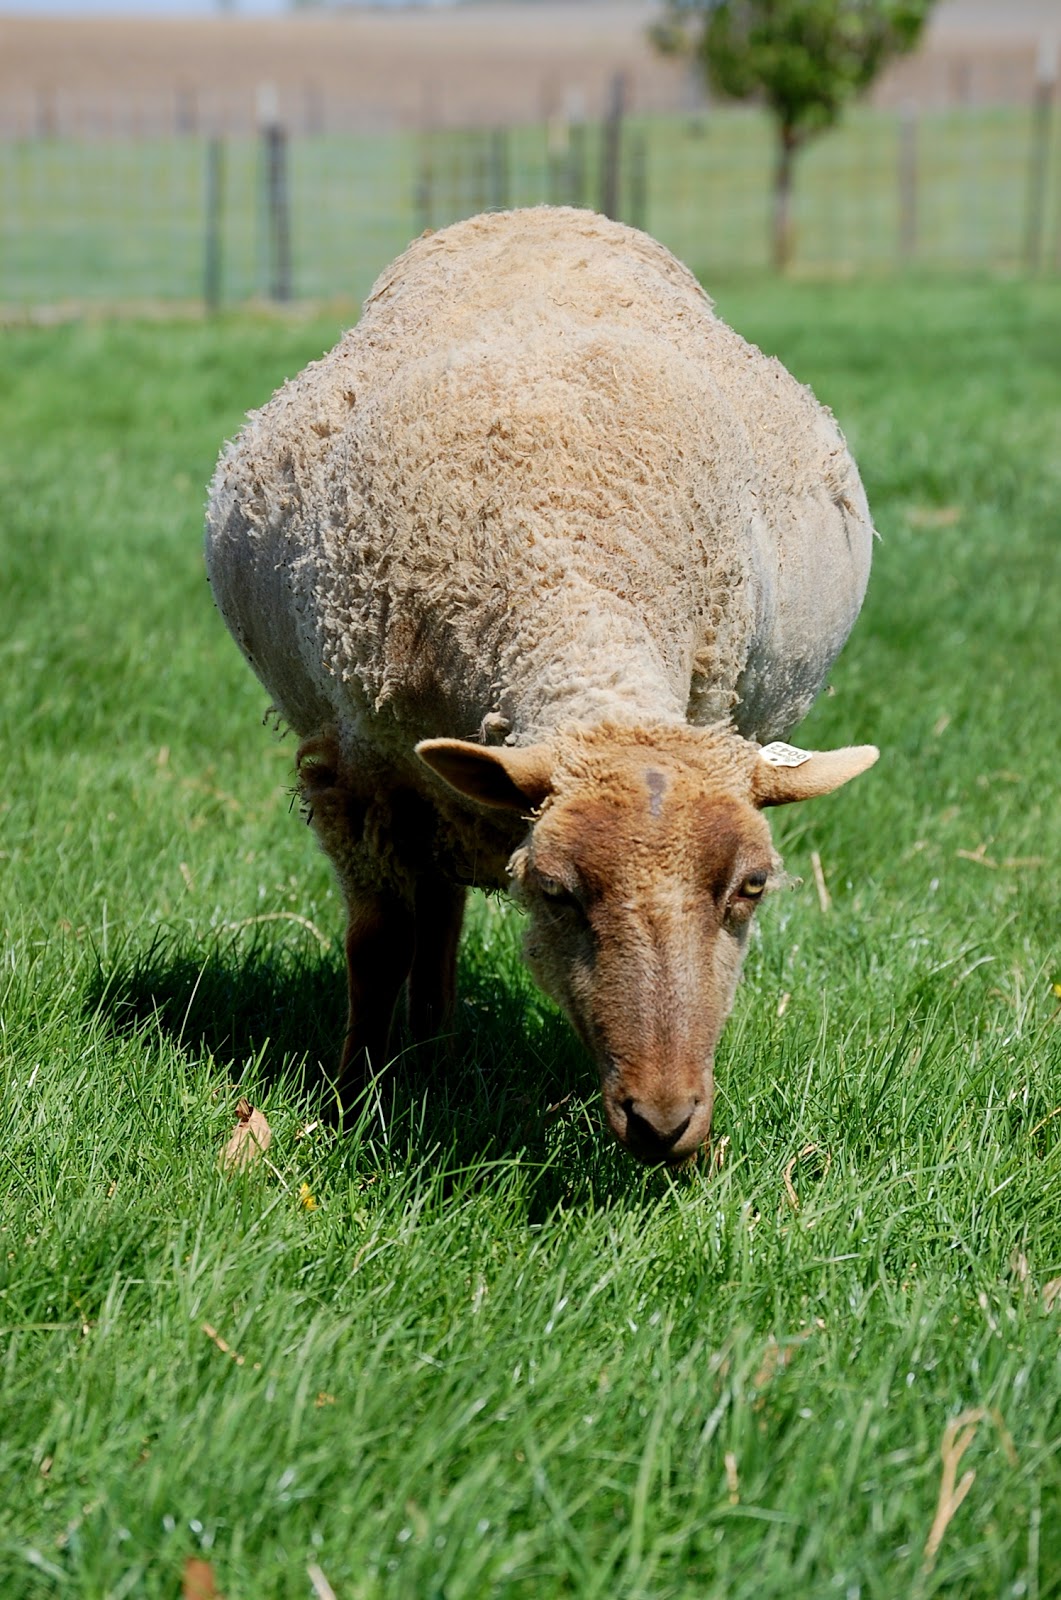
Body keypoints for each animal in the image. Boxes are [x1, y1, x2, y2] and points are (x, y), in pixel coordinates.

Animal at [205, 205, 878, 1166]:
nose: (662, 1123)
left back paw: (438, 1045)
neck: (567, 562)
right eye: (555, 892)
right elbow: (377, 942)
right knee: (430, 910)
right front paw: (354, 1099)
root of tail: (531, 212)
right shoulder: (360, 772)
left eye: (750, 887)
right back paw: (425, 1051)